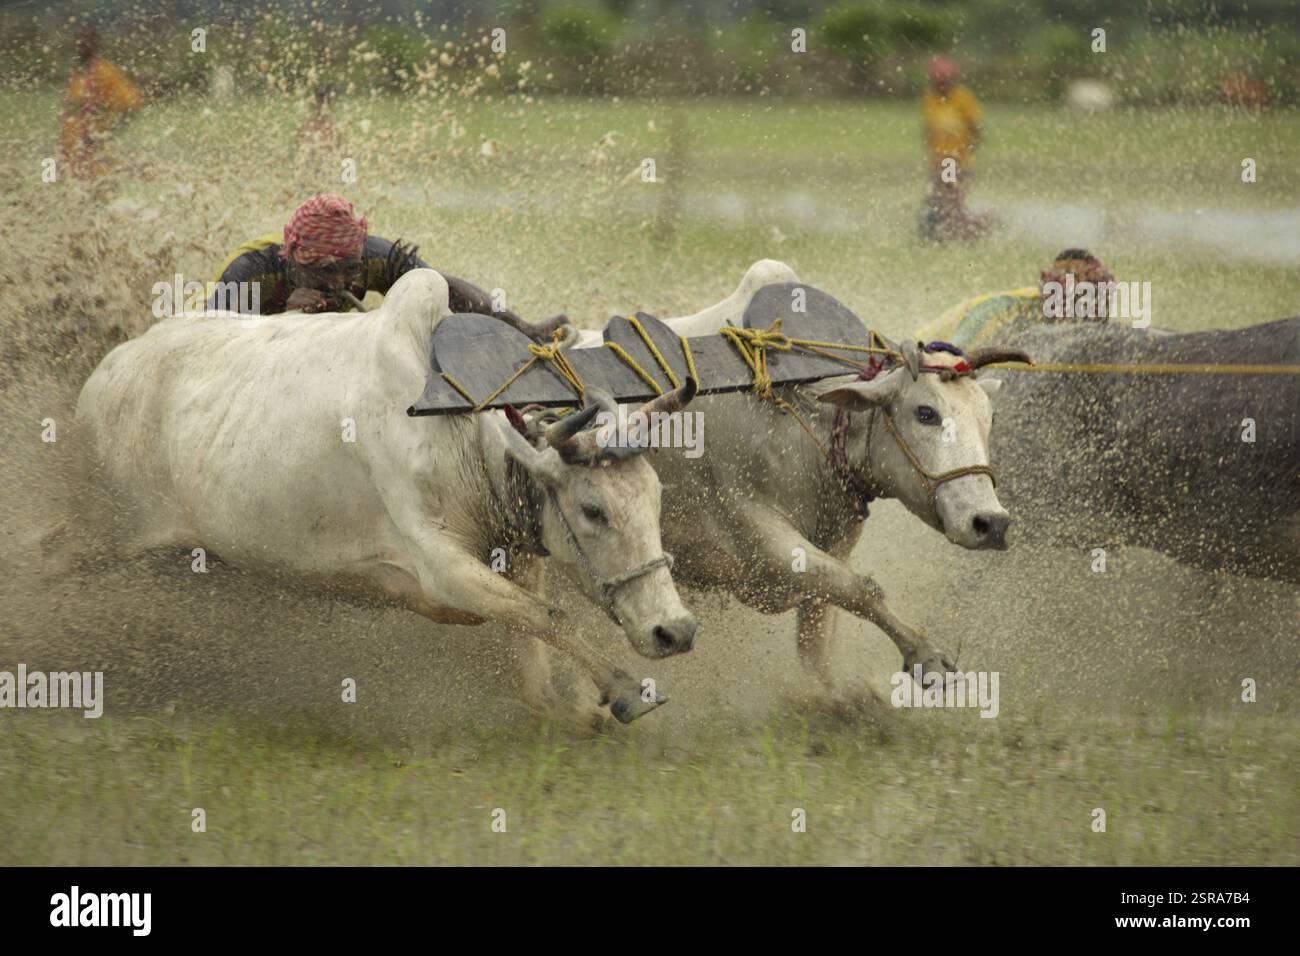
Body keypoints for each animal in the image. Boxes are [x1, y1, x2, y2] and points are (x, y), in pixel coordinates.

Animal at [74, 268, 699, 726]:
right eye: (594, 510)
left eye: (656, 497)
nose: (676, 631)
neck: (462, 435)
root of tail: (107, 373)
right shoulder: (442, 566)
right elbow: (550, 614)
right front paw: (626, 688)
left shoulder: (517, 555)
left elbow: (537, 659)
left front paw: (578, 708)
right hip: (105, 530)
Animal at [570, 260, 1027, 690]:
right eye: (925, 412)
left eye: (989, 417)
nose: (990, 522)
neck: (804, 421)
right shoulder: (763, 538)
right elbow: (861, 589)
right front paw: (927, 656)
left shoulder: (835, 548)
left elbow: (821, 637)